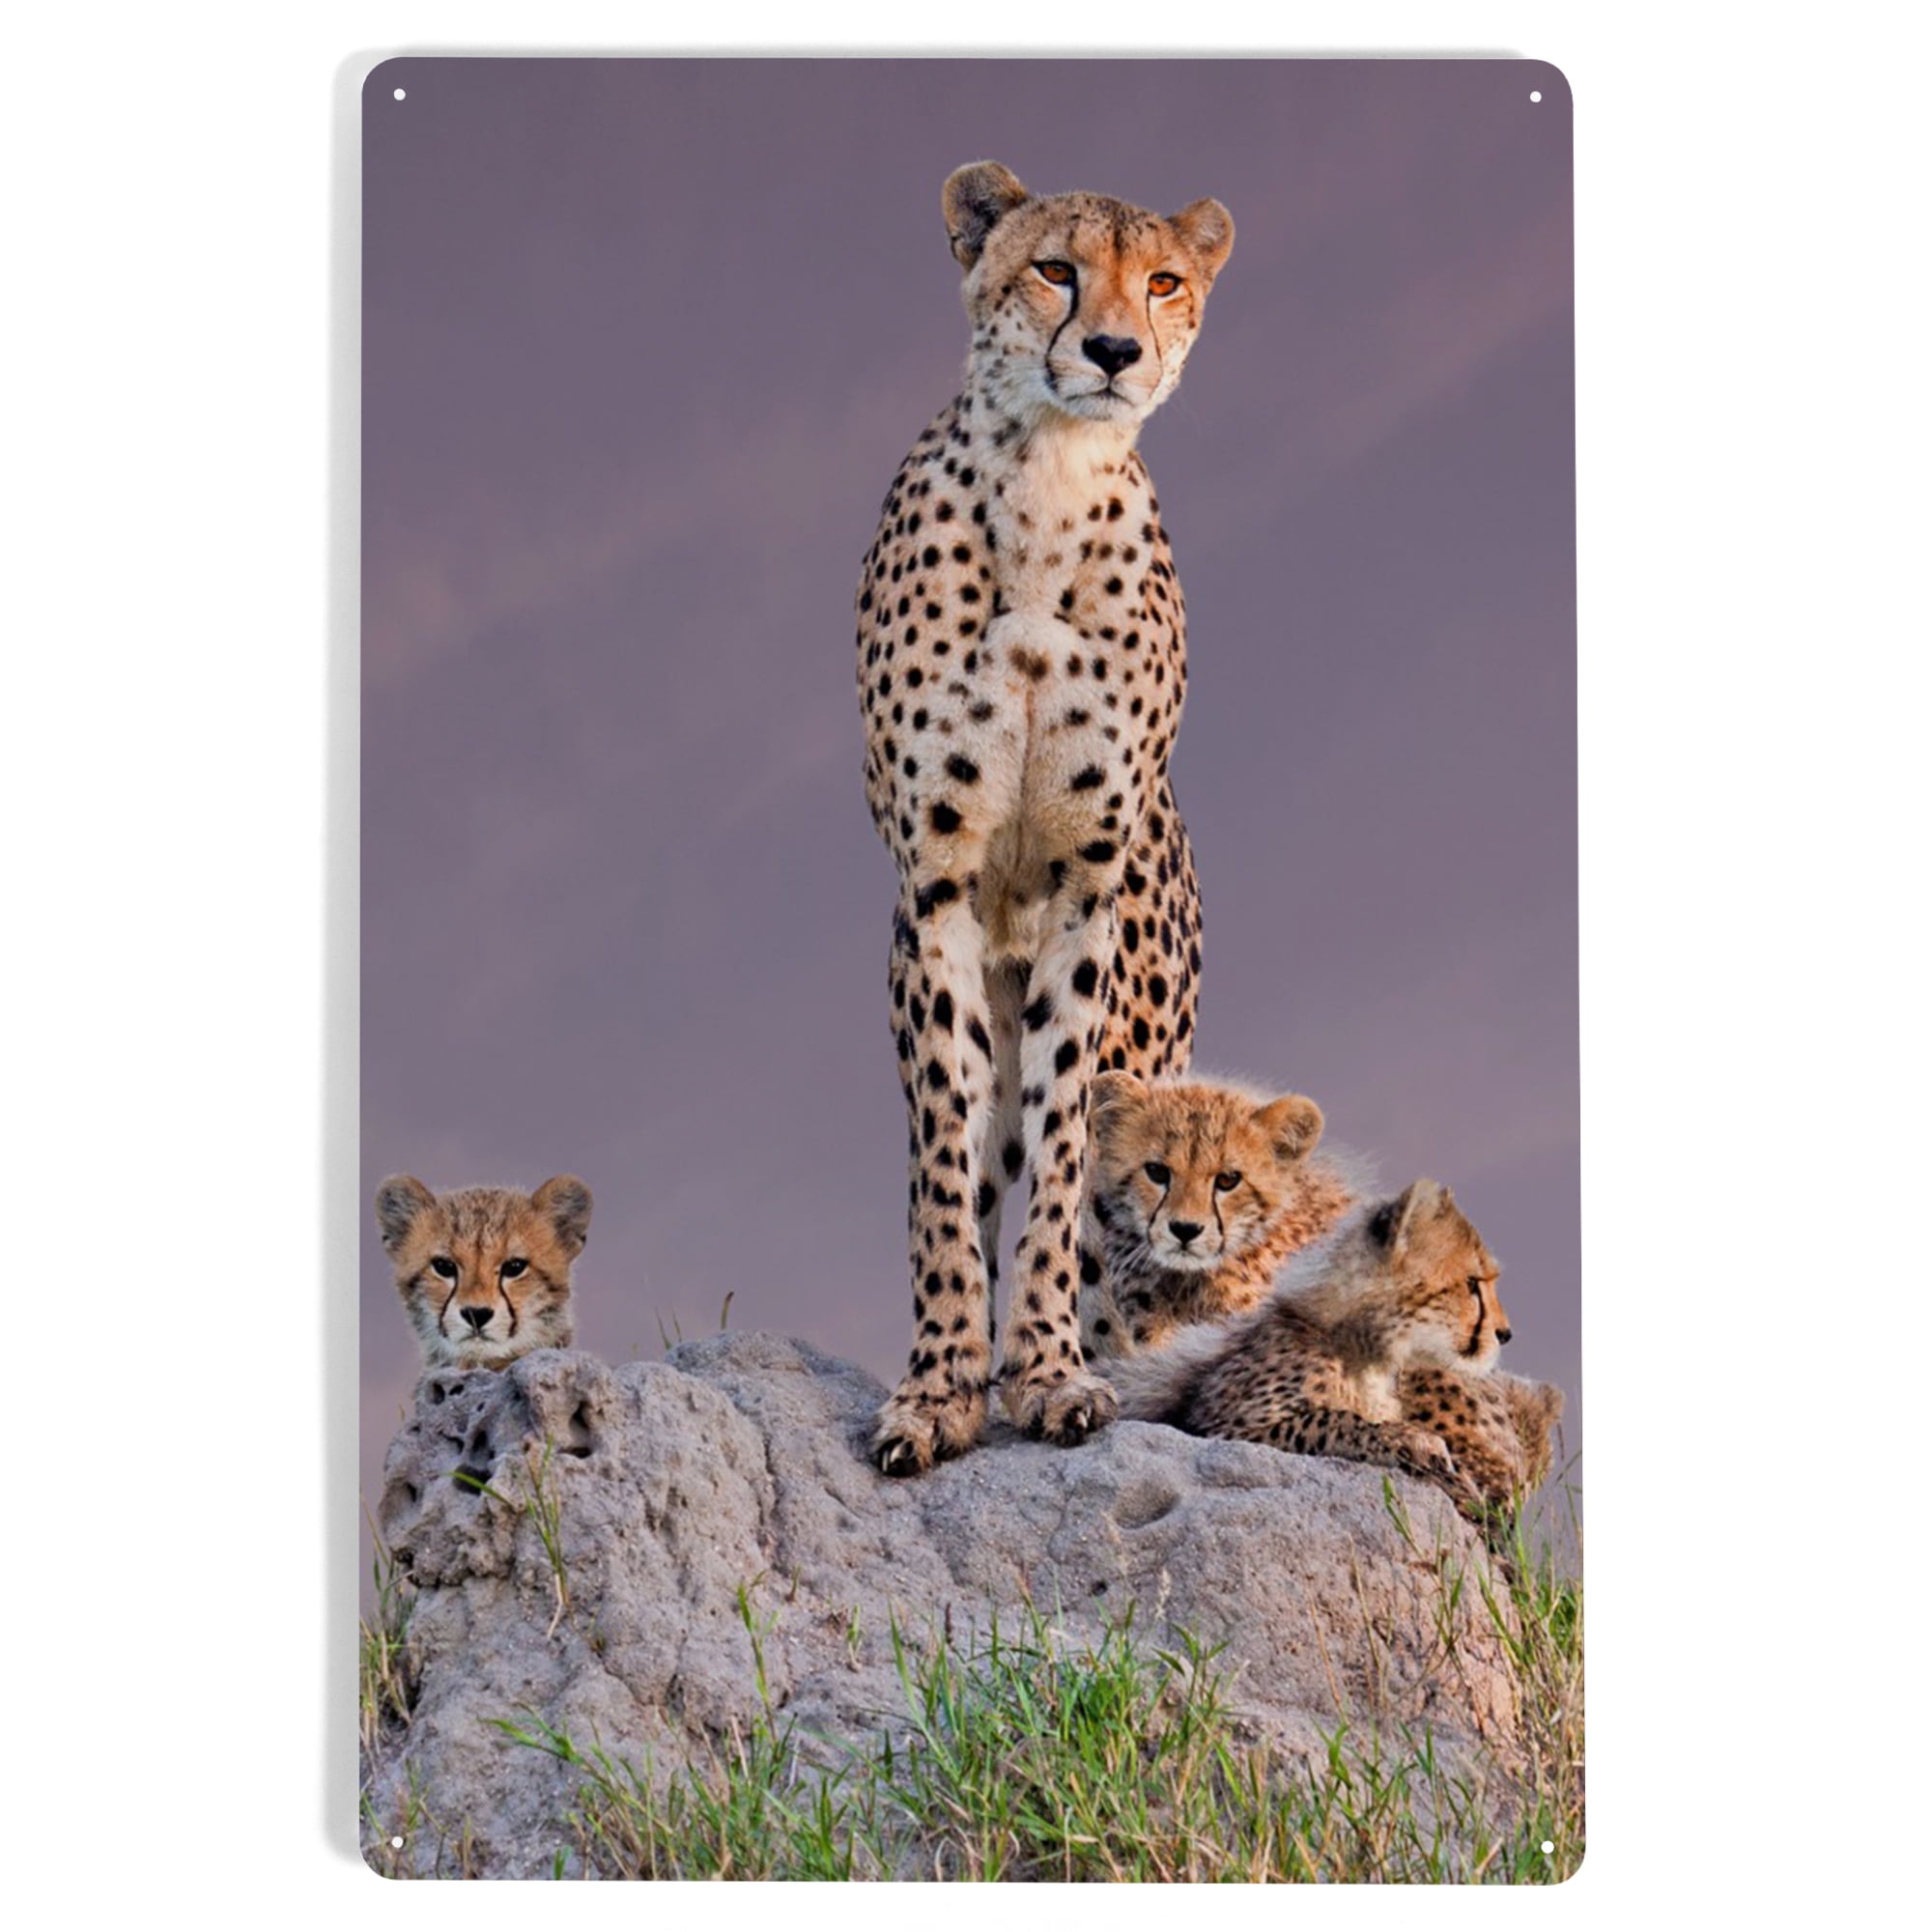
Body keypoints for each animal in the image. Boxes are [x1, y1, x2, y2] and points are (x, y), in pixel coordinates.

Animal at [857, 161, 1235, 1474]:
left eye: (1161, 280)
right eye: (1054, 269)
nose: (1114, 348)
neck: (1046, 486)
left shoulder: (1086, 893)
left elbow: (1074, 1144)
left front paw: (1051, 1374)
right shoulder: (934, 887)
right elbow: (940, 1158)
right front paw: (939, 1385)